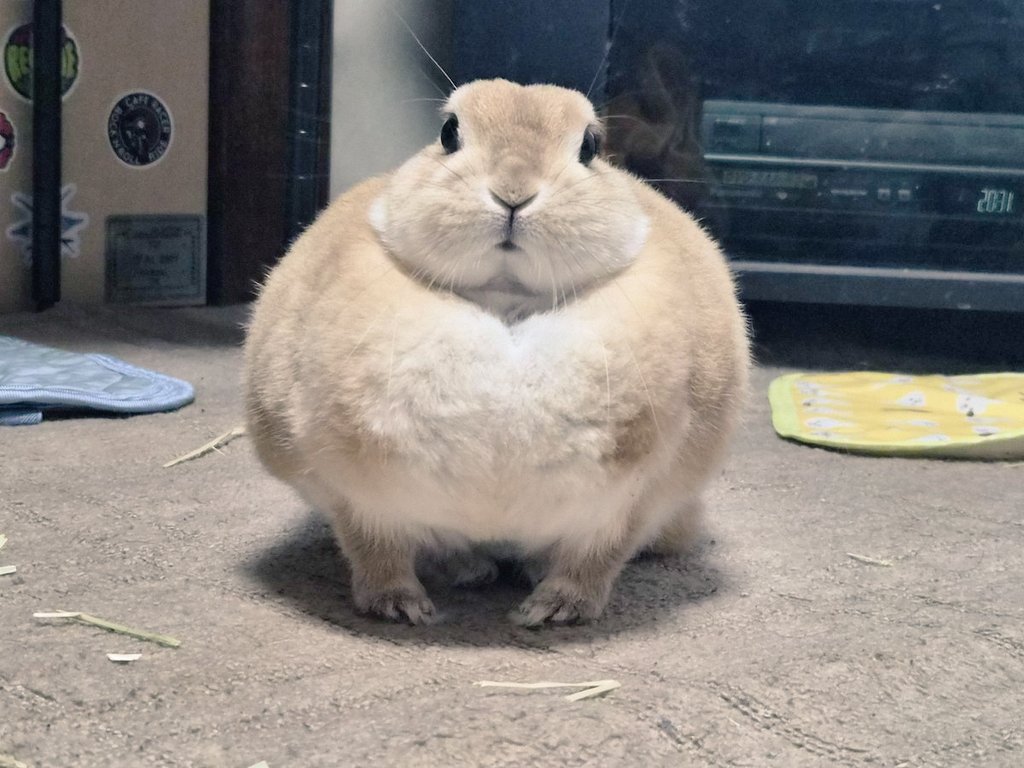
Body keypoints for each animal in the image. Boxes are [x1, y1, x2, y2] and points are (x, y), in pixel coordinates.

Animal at [244, 78, 749, 626]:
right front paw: (402, 607)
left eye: (590, 146)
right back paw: (469, 570)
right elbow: (374, 551)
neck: (505, 304)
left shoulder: (633, 502)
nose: (513, 193)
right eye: (448, 132)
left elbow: (597, 560)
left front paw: (554, 610)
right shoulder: (355, 496)